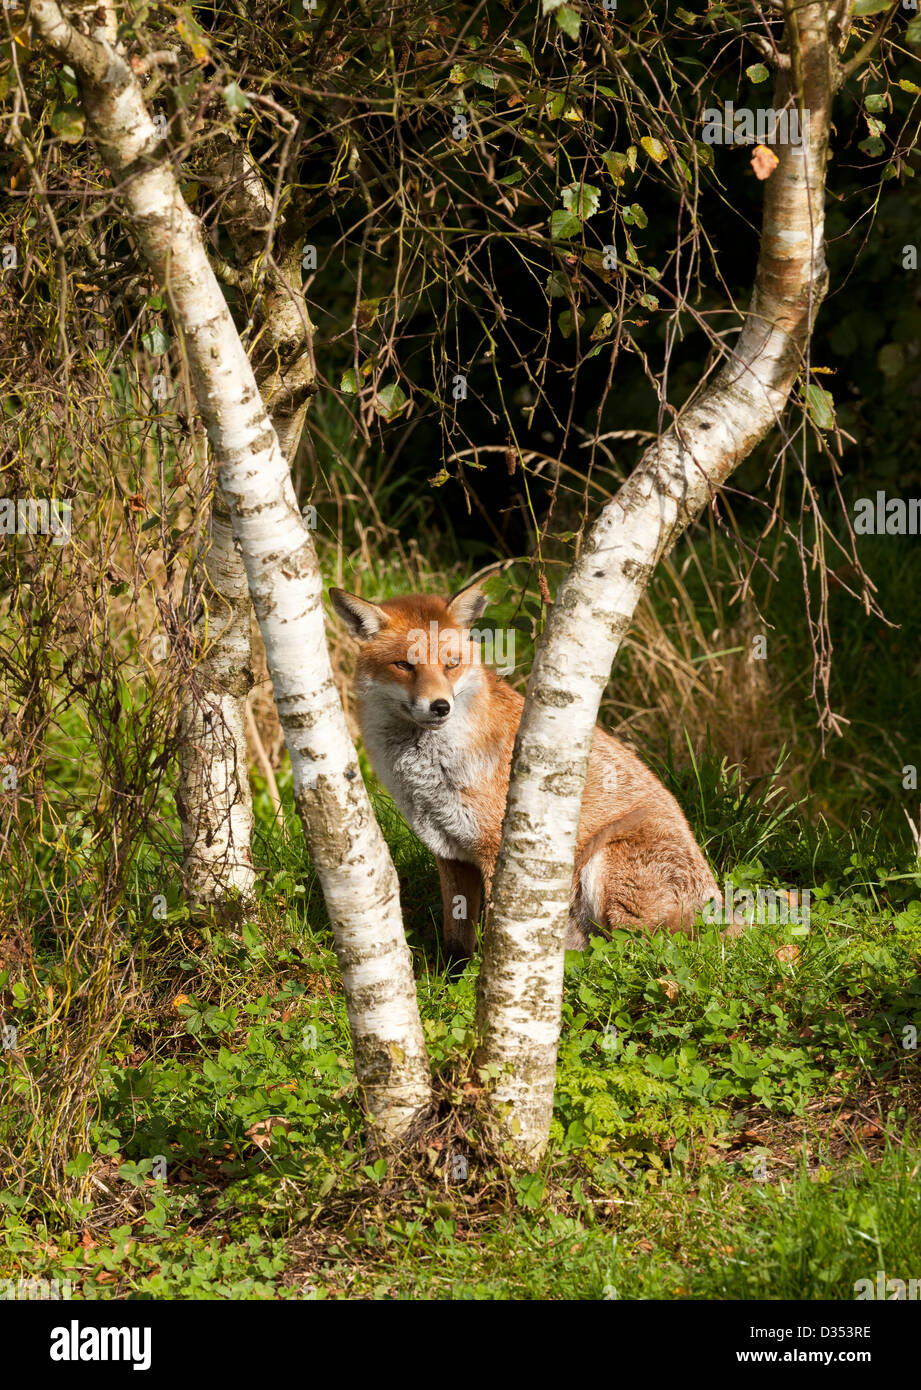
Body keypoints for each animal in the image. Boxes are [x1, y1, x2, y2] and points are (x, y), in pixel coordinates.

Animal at [330, 576, 720, 958]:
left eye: (451, 664)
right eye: (404, 665)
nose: (440, 706)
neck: (429, 774)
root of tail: (723, 923)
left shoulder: (495, 851)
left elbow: (496, 938)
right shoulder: (450, 853)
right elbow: (457, 941)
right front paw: (450, 975)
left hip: (607, 863)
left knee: (638, 952)